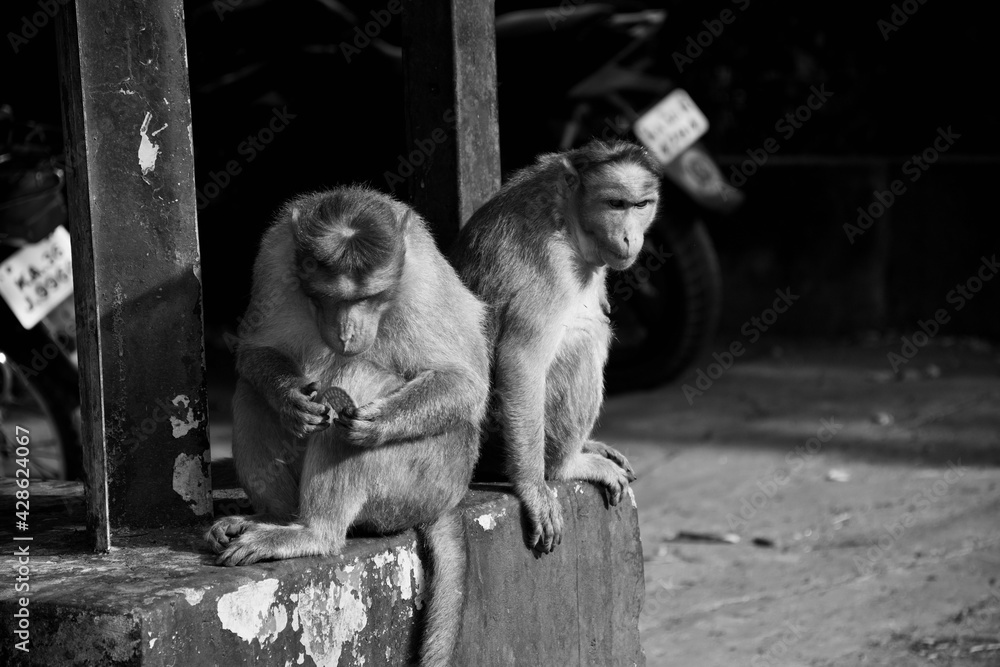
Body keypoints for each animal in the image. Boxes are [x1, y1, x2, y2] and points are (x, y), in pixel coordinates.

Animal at [204, 186, 490, 667]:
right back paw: (273, 517)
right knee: (249, 388)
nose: (346, 331)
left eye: (366, 298)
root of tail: (448, 501)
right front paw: (290, 399)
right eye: (331, 297)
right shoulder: (274, 257)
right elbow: (255, 350)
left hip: (424, 483)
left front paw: (375, 425)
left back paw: (313, 533)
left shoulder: (422, 279)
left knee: (358, 374)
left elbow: (466, 383)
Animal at [450, 139, 661, 554]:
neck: (568, 214)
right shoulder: (549, 260)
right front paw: (533, 489)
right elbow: (521, 361)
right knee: (583, 339)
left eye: (641, 205)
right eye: (615, 204)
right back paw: (566, 467)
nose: (630, 237)